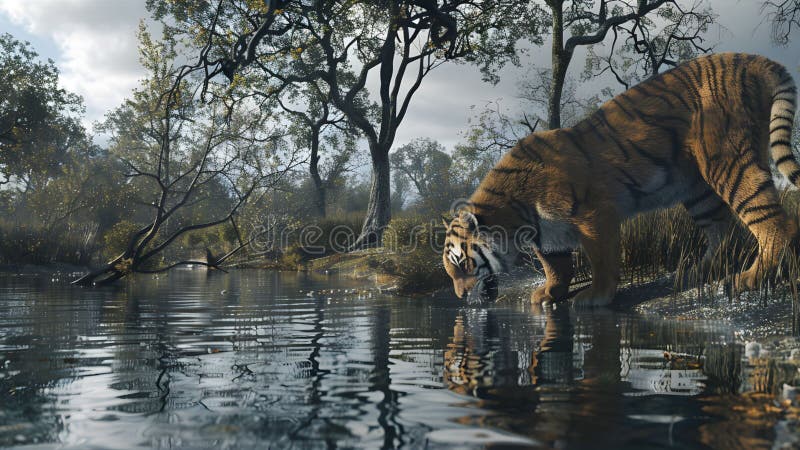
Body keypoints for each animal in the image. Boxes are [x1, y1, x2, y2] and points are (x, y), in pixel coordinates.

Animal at [443, 53, 798, 306]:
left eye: (463, 265)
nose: (460, 297)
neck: (517, 219)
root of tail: (753, 59)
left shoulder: (593, 213)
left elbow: (601, 259)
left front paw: (595, 297)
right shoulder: (549, 235)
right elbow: (556, 266)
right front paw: (548, 293)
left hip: (727, 161)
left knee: (775, 223)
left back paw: (750, 278)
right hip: (698, 190)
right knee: (724, 233)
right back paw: (693, 273)